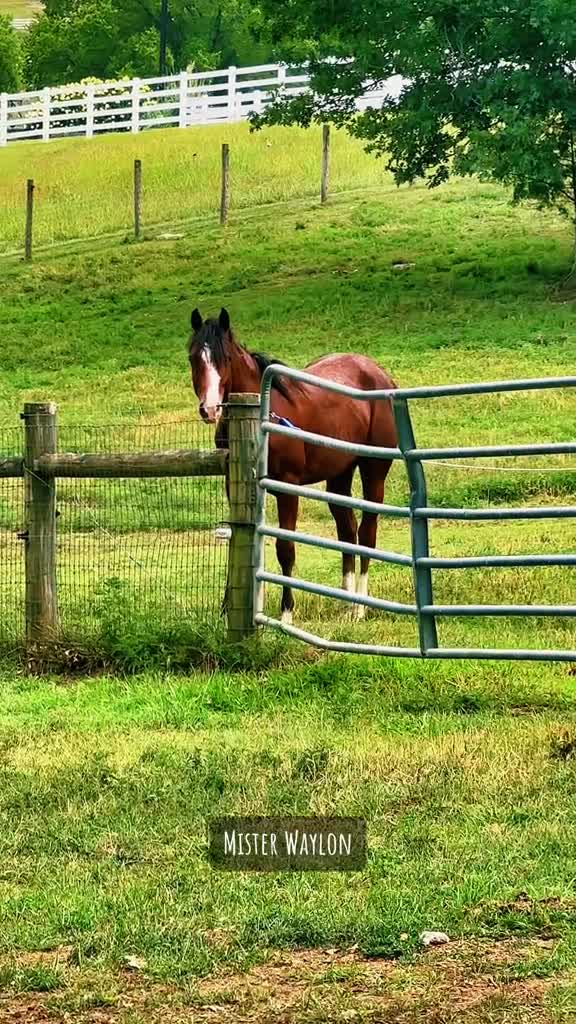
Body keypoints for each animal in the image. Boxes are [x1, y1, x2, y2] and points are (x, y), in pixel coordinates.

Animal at [188, 307, 398, 623]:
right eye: (193, 357)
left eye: (226, 359)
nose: (209, 409)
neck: (264, 413)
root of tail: (379, 373)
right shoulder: (237, 487)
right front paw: (229, 609)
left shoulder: (288, 489)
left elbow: (285, 548)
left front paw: (286, 613)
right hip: (339, 476)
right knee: (347, 530)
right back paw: (346, 600)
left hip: (373, 472)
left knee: (367, 532)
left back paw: (360, 607)